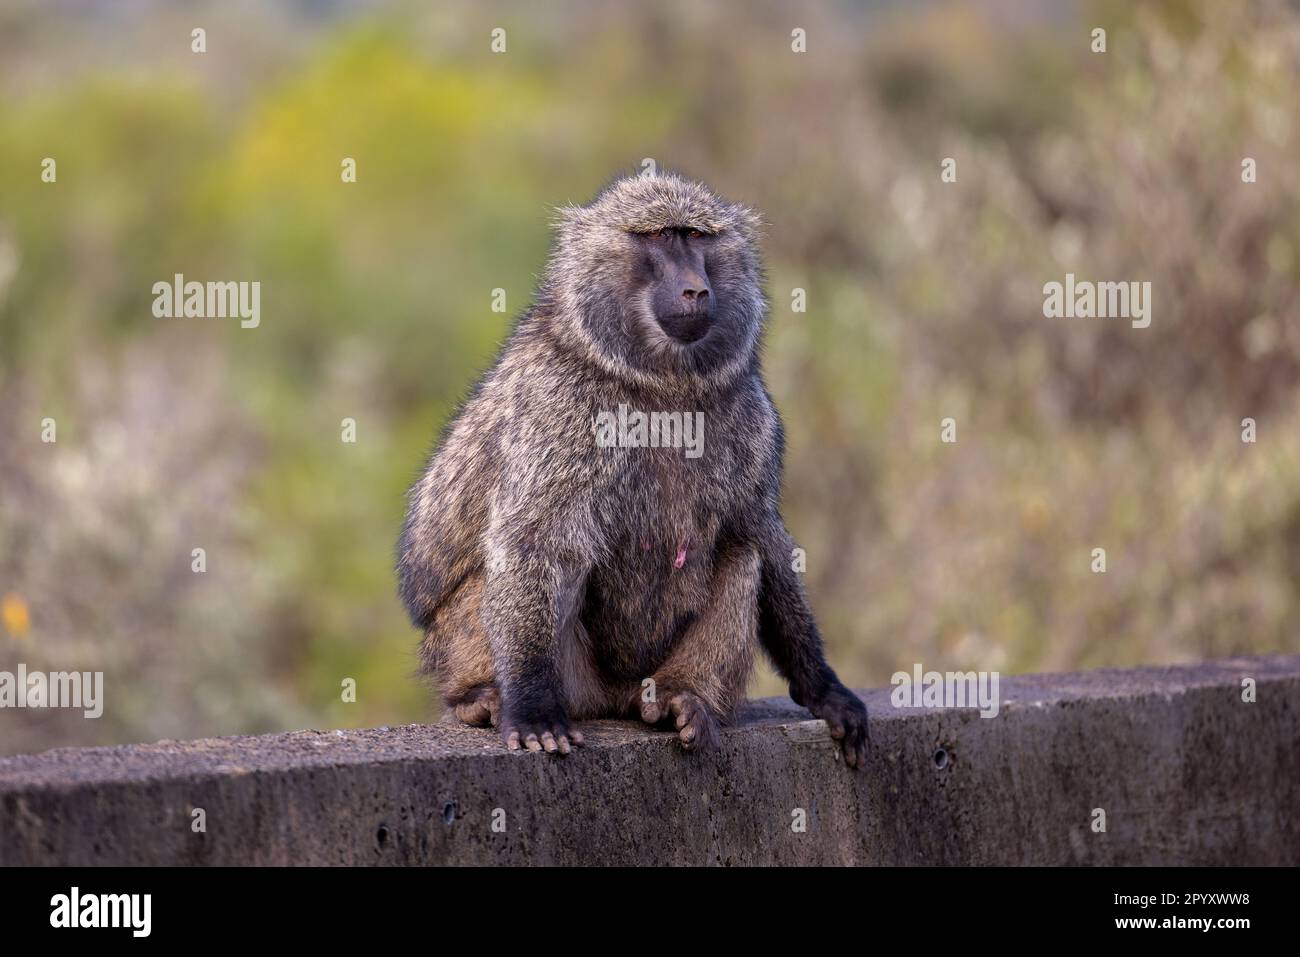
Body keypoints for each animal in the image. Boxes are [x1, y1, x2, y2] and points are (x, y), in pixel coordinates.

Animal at [396, 171, 870, 768]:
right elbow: (532, 540)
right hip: (549, 675)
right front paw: (530, 708)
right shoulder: (559, 405)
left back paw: (681, 701)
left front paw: (823, 687)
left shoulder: (752, 417)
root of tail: (618, 698)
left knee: (744, 555)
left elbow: (763, 533)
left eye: (696, 236)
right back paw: (479, 700)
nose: (695, 289)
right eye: (659, 237)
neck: (661, 388)